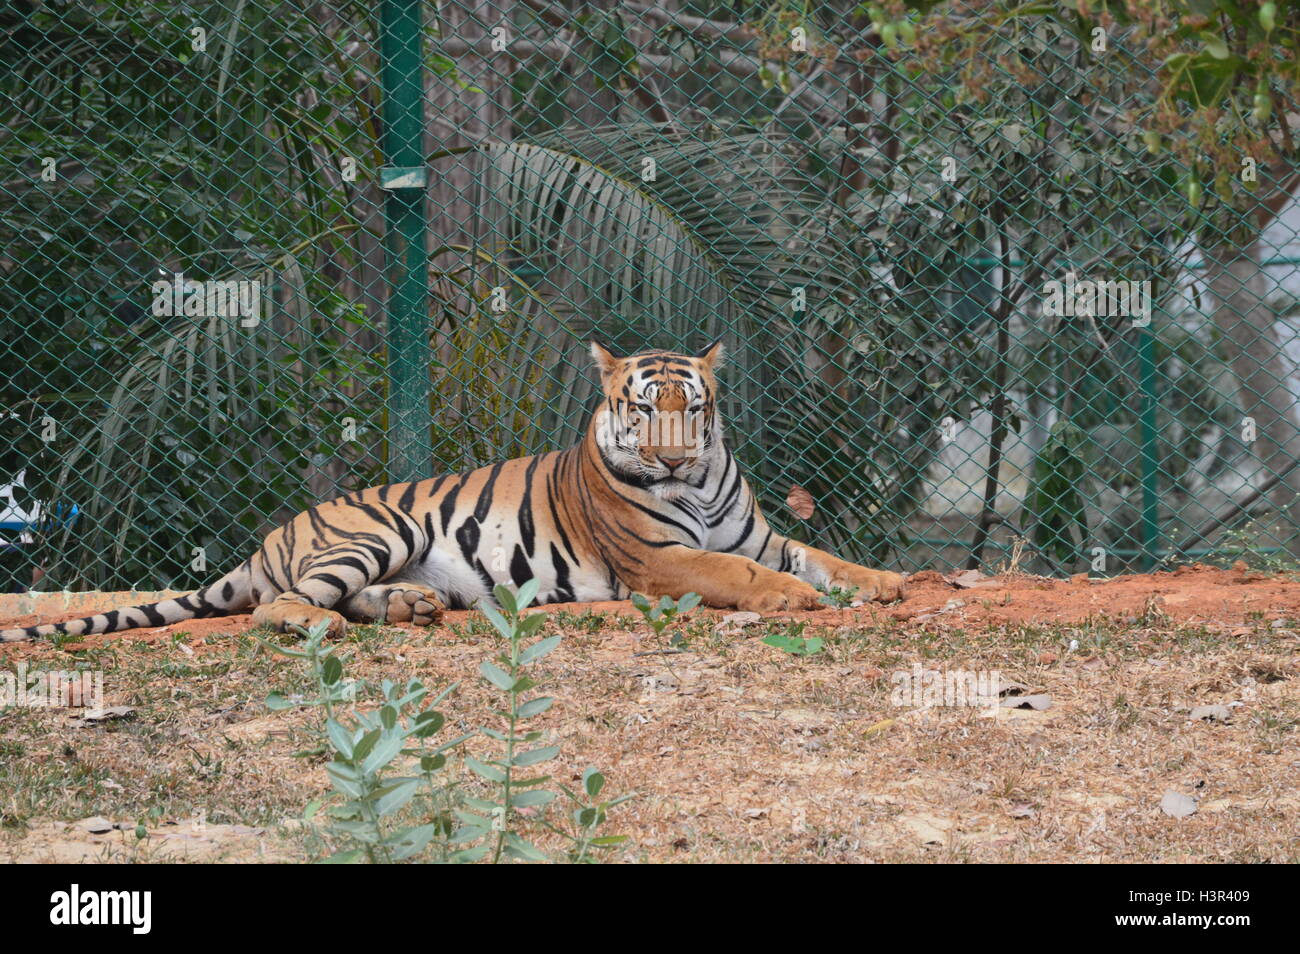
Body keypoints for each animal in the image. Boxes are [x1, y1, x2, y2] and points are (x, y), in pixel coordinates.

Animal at [1, 342, 905, 644]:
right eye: (644, 409)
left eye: (694, 406)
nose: (673, 460)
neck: (702, 488)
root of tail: (270, 538)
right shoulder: (665, 561)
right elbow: (746, 575)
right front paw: (794, 599)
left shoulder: (758, 534)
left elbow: (826, 557)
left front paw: (889, 583)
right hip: (377, 530)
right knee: (283, 606)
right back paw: (323, 625)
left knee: (340, 597)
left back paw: (413, 607)